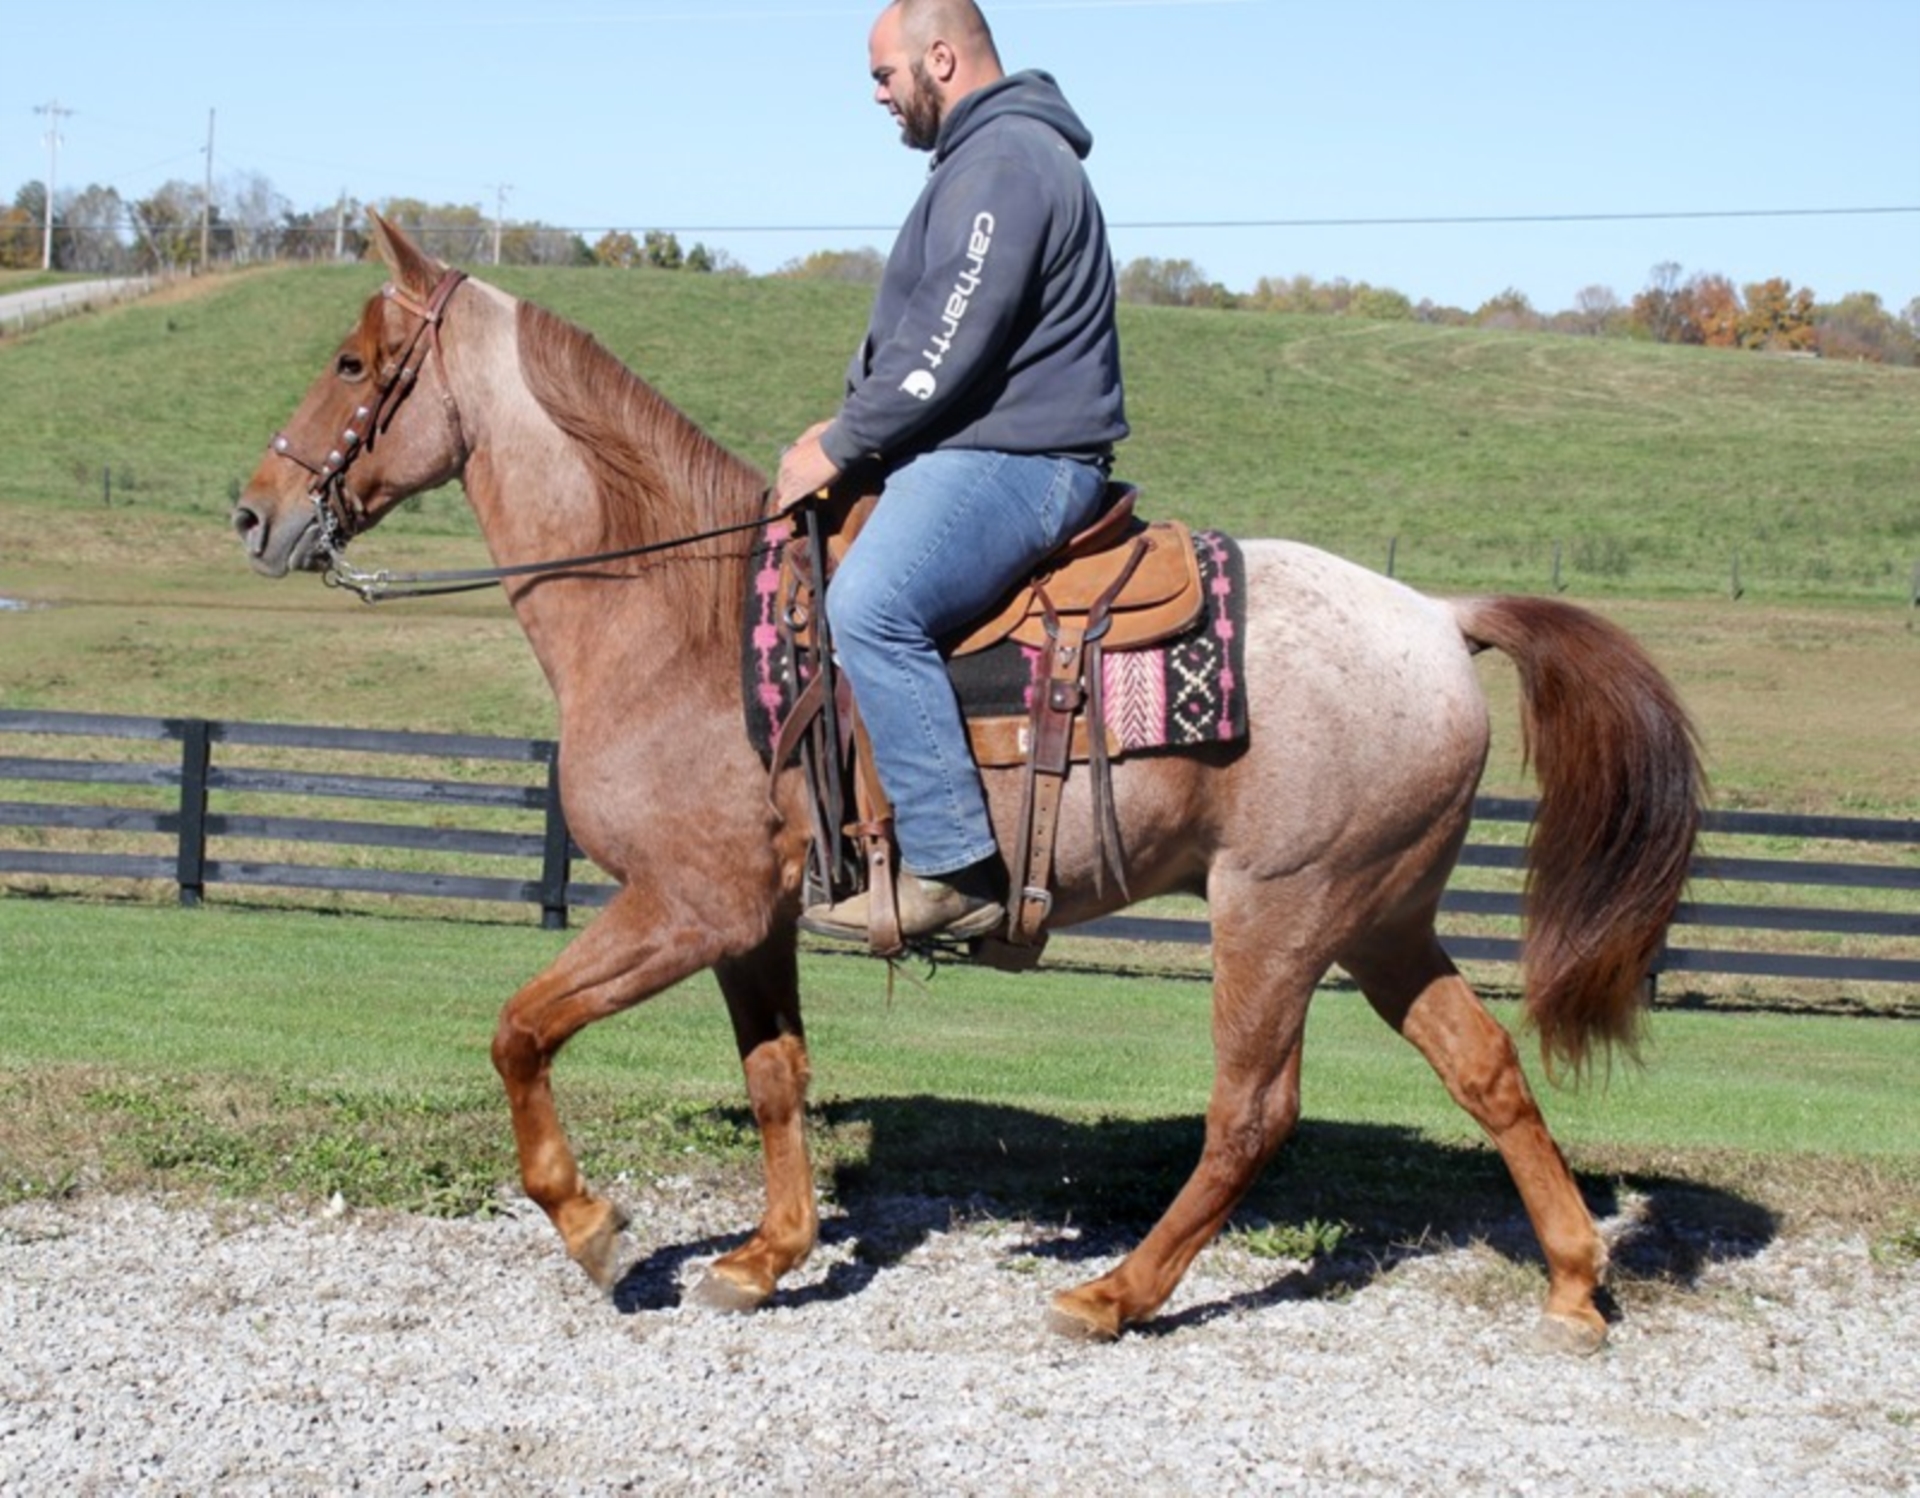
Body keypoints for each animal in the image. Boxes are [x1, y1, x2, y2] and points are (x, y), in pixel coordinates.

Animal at [234, 214, 1702, 1352]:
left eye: (353, 360)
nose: (255, 511)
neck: (677, 616)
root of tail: (1441, 619)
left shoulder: (686, 902)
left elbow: (520, 1029)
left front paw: (595, 1227)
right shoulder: (749, 919)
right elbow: (778, 1076)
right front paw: (764, 1255)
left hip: (1280, 912)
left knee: (1251, 1113)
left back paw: (1114, 1293)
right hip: (1382, 917)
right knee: (1488, 1067)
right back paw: (1574, 1284)